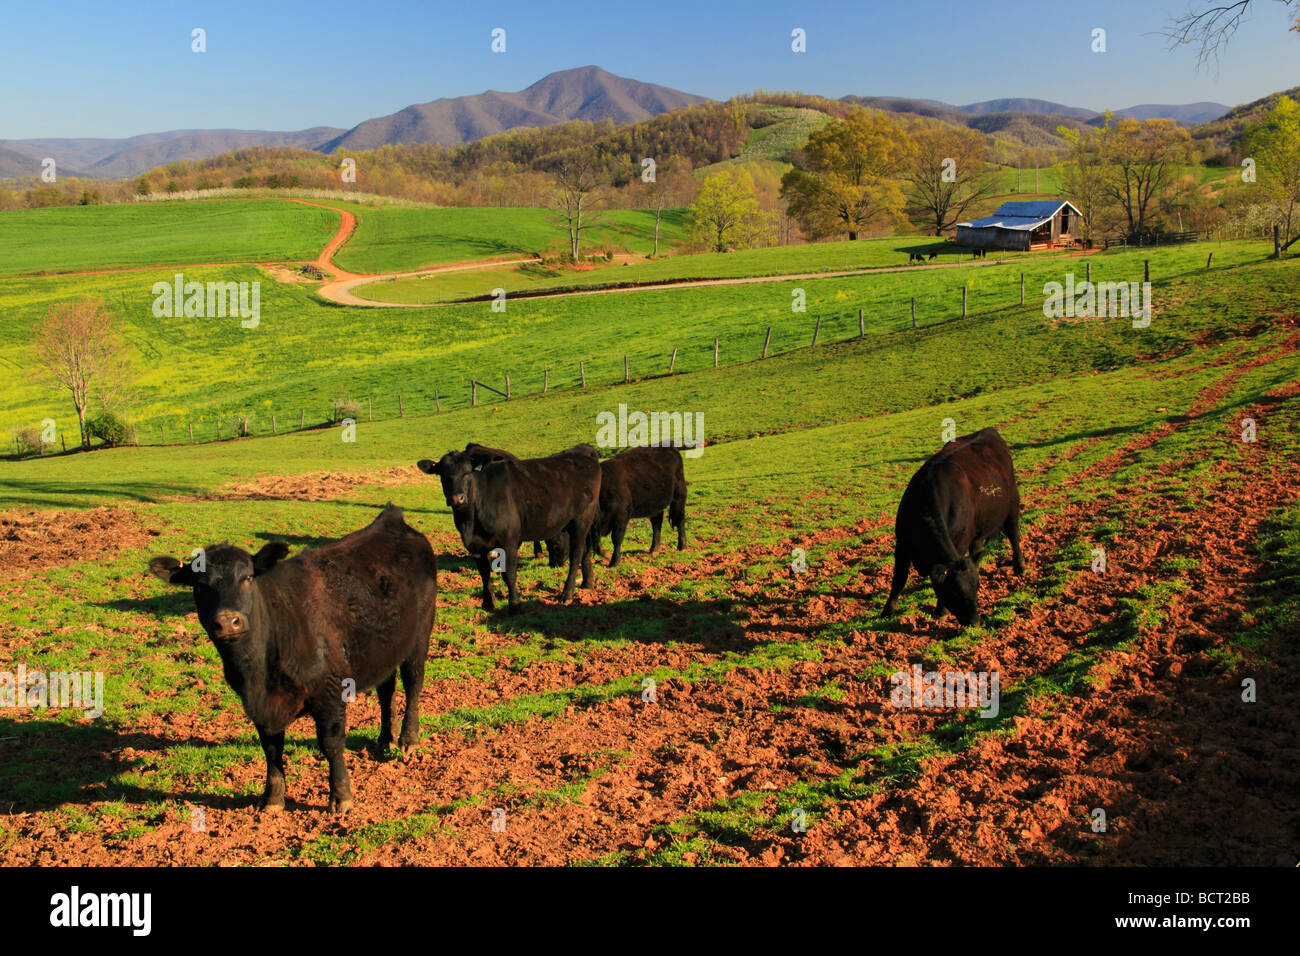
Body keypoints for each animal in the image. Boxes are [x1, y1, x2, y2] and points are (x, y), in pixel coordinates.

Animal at [147, 504, 437, 814]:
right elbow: (271, 749)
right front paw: (272, 798)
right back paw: (384, 740)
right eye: (199, 586)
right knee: (386, 690)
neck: (259, 672)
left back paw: (408, 739)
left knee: (413, 683)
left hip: (420, 636)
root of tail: (392, 520)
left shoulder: (330, 691)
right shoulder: (259, 707)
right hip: (385, 648)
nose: (227, 622)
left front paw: (341, 797)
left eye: (247, 577)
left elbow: (331, 743)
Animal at [417, 444, 600, 613]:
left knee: (576, 554)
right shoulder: (476, 546)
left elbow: (509, 573)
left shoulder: (509, 540)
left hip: (581, 520)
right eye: (443, 475)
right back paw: (587, 583)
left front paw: (515, 605)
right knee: (586, 550)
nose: (457, 498)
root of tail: (583, 451)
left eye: (467, 472)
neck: (470, 522)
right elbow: (484, 572)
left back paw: (567, 594)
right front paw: (488, 603)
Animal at [881, 428, 1024, 627]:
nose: (975, 621)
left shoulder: (959, 543)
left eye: (977, 587)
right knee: (979, 549)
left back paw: (1020, 567)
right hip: (979, 528)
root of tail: (989, 431)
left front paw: (941, 611)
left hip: (1012, 506)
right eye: (955, 591)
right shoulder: (902, 544)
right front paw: (888, 610)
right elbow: (899, 579)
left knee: (1014, 535)